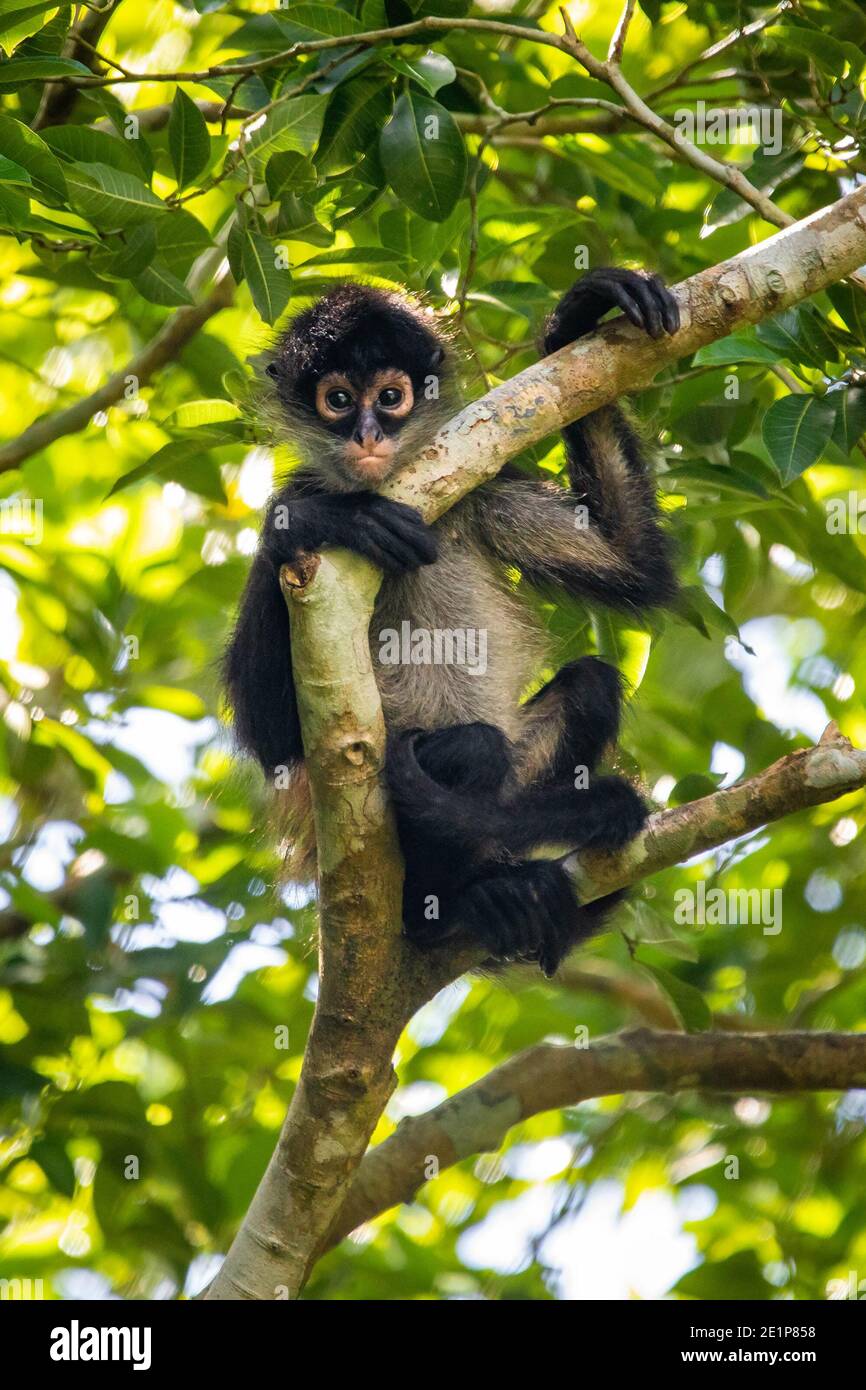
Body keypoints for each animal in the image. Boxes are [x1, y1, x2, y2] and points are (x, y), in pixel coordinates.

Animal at [224, 268, 679, 976]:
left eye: (390, 397)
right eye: (337, 400)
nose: (367, 436)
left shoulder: (482, 490)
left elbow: (635, 565)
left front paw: (576, 319)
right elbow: (272, 741)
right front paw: (316, 521)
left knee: (583, 691)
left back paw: (492, 890)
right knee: (475, 748)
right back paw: (443, 911)